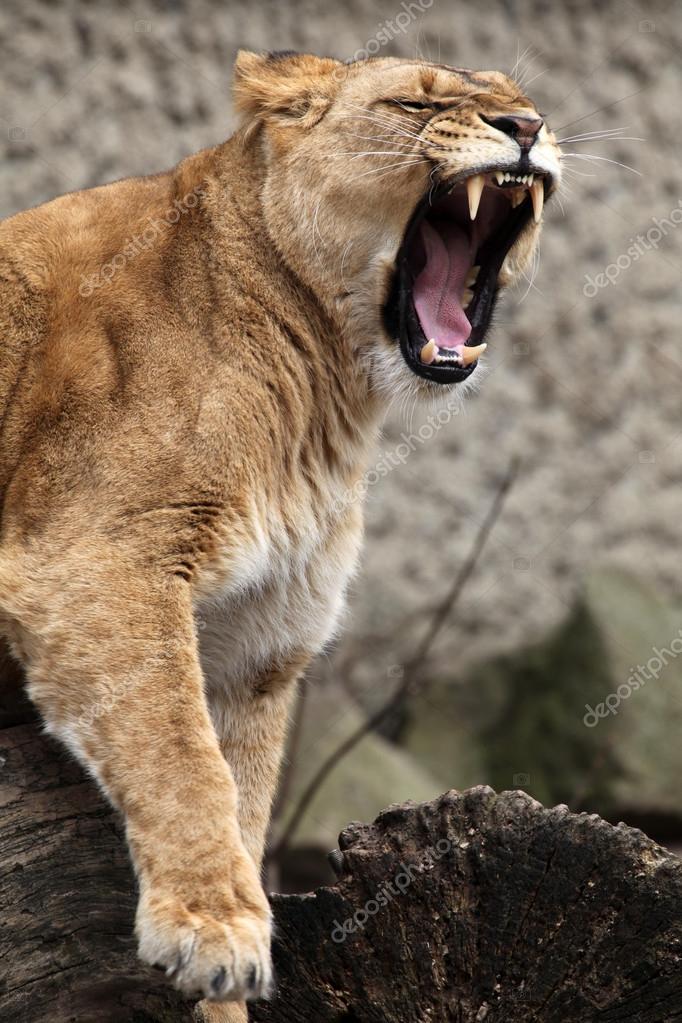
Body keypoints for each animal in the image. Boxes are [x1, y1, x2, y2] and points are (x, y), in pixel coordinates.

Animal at [0, 50, 561, 1019]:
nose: (526, 130)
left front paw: (225, 991)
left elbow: (242, 793)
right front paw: (213, 930)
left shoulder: (259, 643)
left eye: (523, 102)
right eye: (415, 102)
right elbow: (178, 751)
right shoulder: (93, 555)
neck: (328, 387)